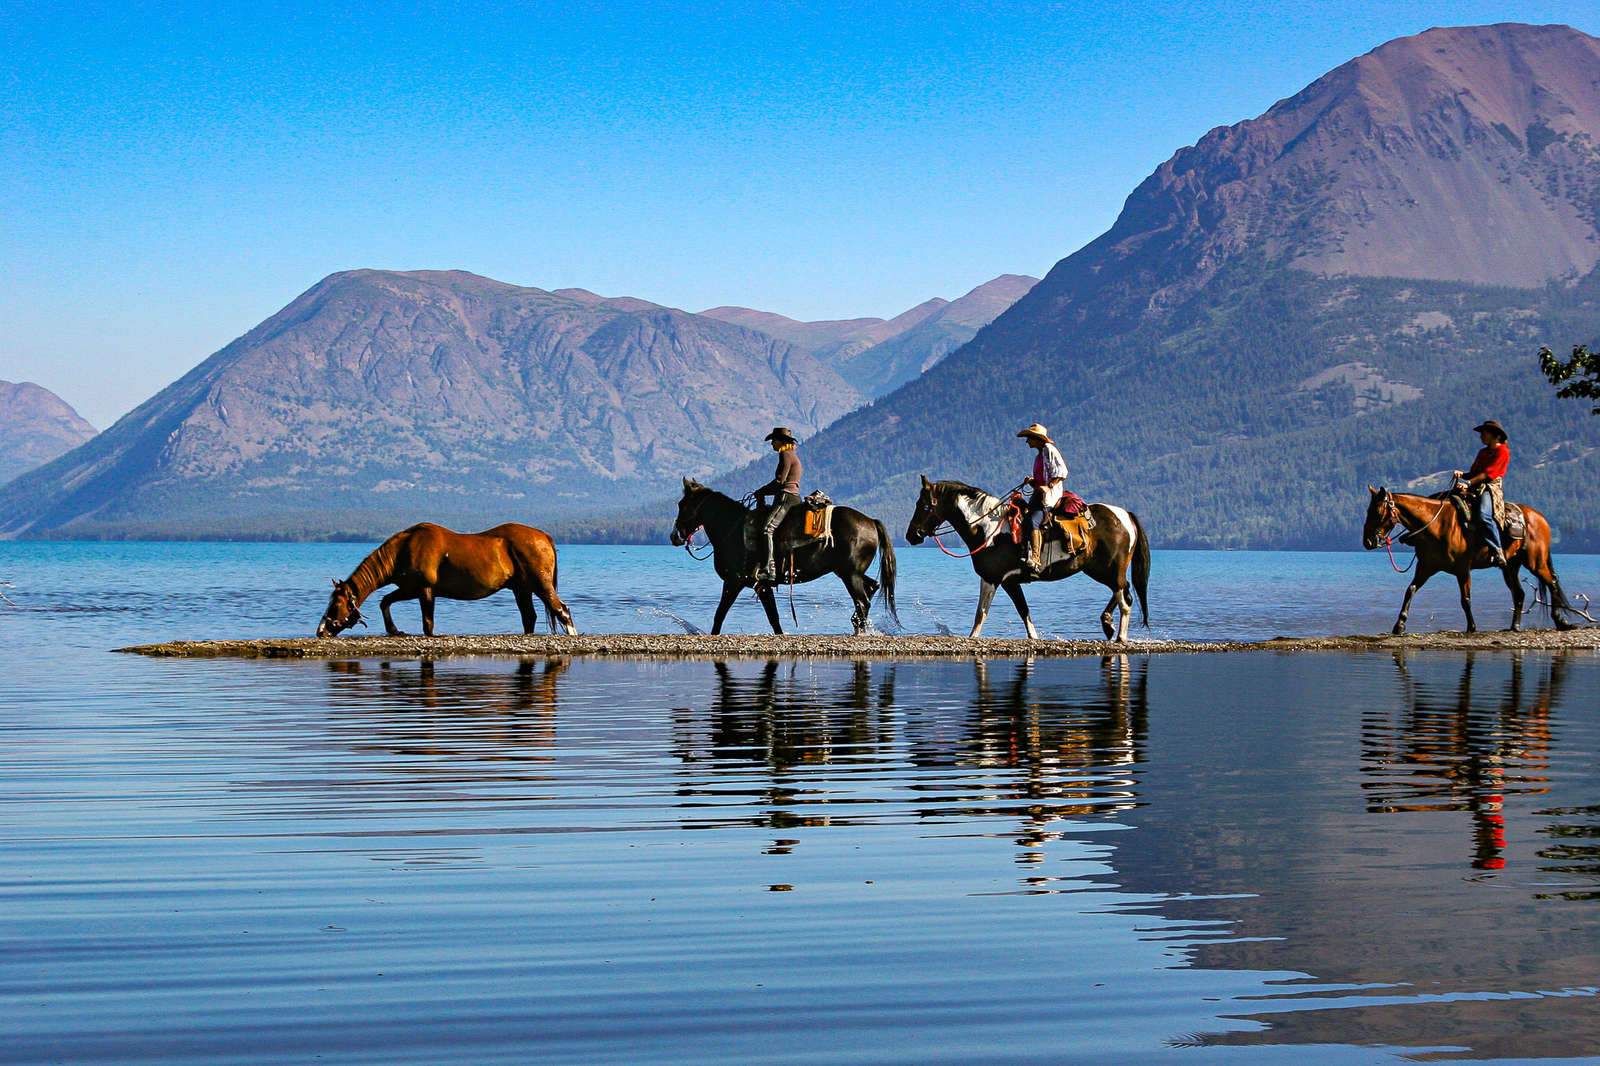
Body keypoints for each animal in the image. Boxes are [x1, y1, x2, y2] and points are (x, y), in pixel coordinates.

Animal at [316, 522, 576, 637]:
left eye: (336, 604)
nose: (321, 631)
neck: (403, 549)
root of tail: (544, 536)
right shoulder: (409, 589)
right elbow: (385, 602)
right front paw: (394, 630)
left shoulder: (424, 590)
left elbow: (427, 624)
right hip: (521, 588)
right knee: (529, 617)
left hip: (540, 585)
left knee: (561, 610)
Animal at [669, 479, 898, 634]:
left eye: (681, 504)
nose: (675, 535)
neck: (732, 528)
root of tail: (870, 521)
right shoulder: (761, 586)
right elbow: (774, 618)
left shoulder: (734, 582)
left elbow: (720, 615)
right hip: (847, 572)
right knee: (871, 588)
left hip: (850, 575)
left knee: (862, 602)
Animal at [905, 477, 1150, 641]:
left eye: (924, 505)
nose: (911, 535)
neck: (989, 530)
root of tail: (1126, 516)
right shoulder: (1009, 581)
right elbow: (1023, 610)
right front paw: (1034, 637)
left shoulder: (994, 579)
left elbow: (981, 613)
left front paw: (972, 637)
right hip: (1100, 569)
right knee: (1124, 590)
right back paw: (1108, 624)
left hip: (1108, 568)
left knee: (1125, 598)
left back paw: (1120, 636)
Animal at [1362, 486, 1578, 634]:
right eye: (1367, 511)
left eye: (1377, 512)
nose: (1368, 541)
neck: (1436, 525)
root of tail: (1541, 518)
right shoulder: (1426, 567)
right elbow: (1410, 590)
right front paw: (1399, 625)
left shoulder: (1462, 569)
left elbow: (1465, 599)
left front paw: (1472, 626)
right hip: (1510, 566)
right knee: (1519, 593)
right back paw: (1515, 626)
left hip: (1536, 563)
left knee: (1552, 583)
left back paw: (1561, 622)